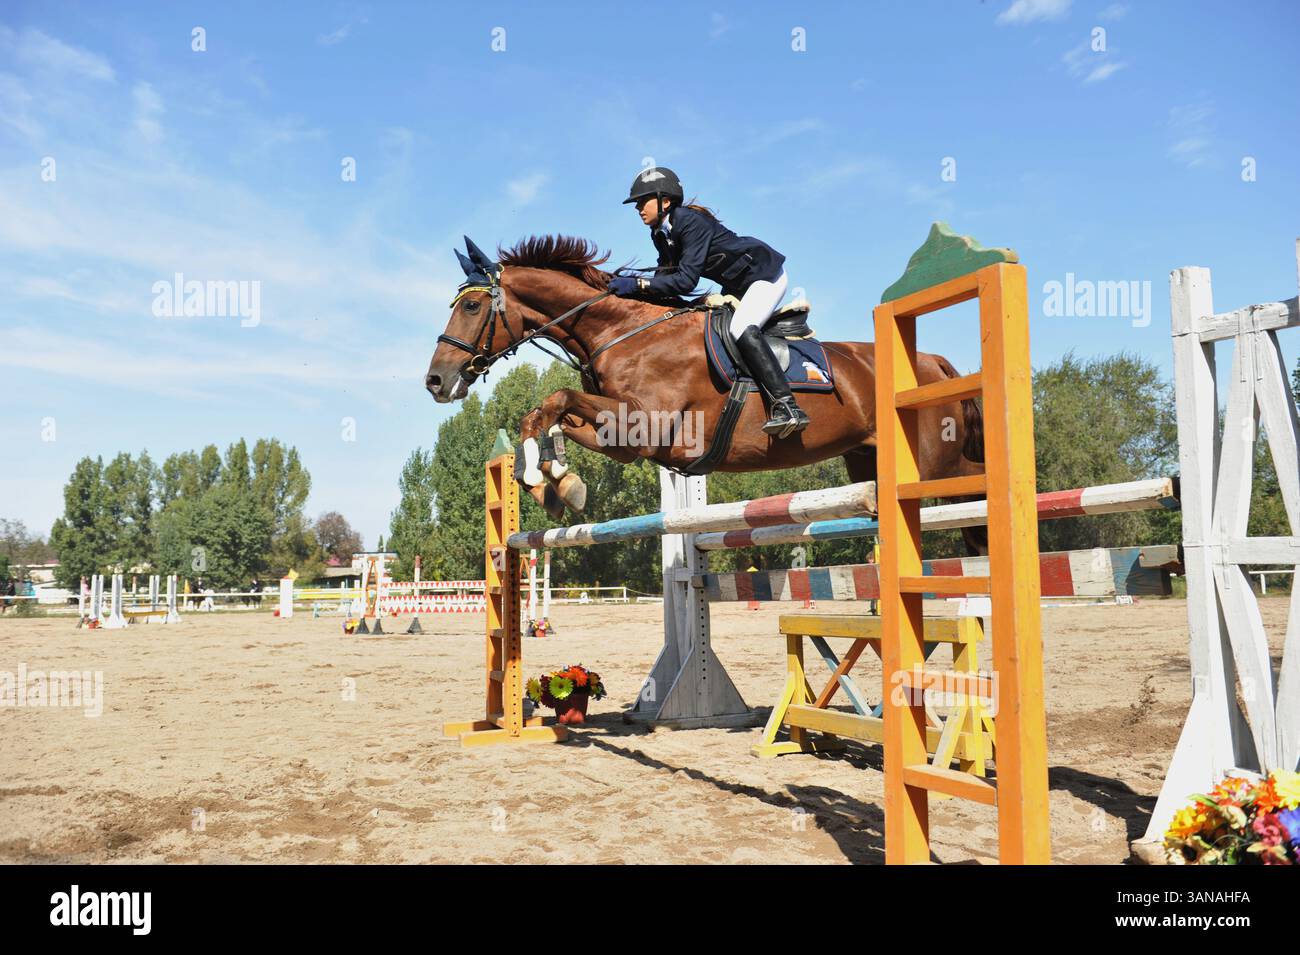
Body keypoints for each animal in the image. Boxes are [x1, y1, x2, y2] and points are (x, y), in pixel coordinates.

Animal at [425, 235, 986, 546]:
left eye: (471, 307)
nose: (436, 381)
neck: (621, 331)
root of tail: (933, 361)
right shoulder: (626, 438)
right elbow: (553, 413)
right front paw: (557, 484)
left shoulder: (645, 429)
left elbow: (557, 400)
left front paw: (546, 478)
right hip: (871, 460)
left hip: (930, 466)